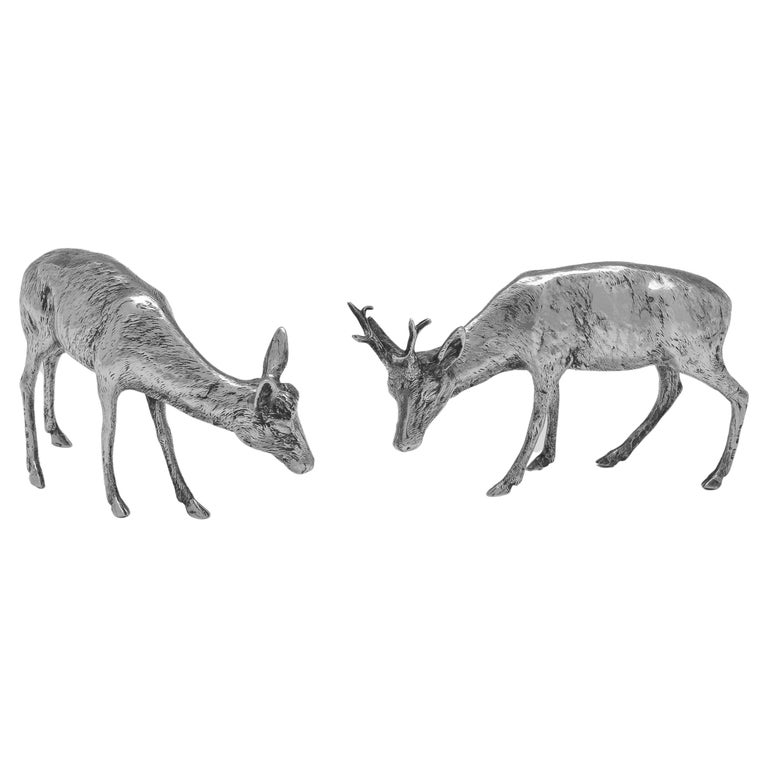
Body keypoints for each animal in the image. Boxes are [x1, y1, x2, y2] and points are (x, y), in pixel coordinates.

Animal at [20, 249, 314, 518]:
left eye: (298, 415)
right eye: (278, 428)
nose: (309, 463)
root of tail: (30, 267)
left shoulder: (153, 389)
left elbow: (166, 435)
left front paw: (193, 503)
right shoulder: (106, 375)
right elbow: (108, 432)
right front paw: (117, 503)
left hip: (58, 341)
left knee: (52, 363)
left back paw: (56, 433)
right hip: (36, 332)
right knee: (25, 381)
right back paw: (36, 472)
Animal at [349, 262, 748, 496]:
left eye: (433, 392)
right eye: (391, 391)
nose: (403, 445)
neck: (514, 335)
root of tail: (729, 303)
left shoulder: (546, 360)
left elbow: (534, 420)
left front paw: (505, 480)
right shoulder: (555, 365)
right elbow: (555, 406)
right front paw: (544, 459)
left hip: (699, 353)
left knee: (740, 393)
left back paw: (715, 476)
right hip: (666, 356)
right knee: (671, 389)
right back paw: (614, 454)